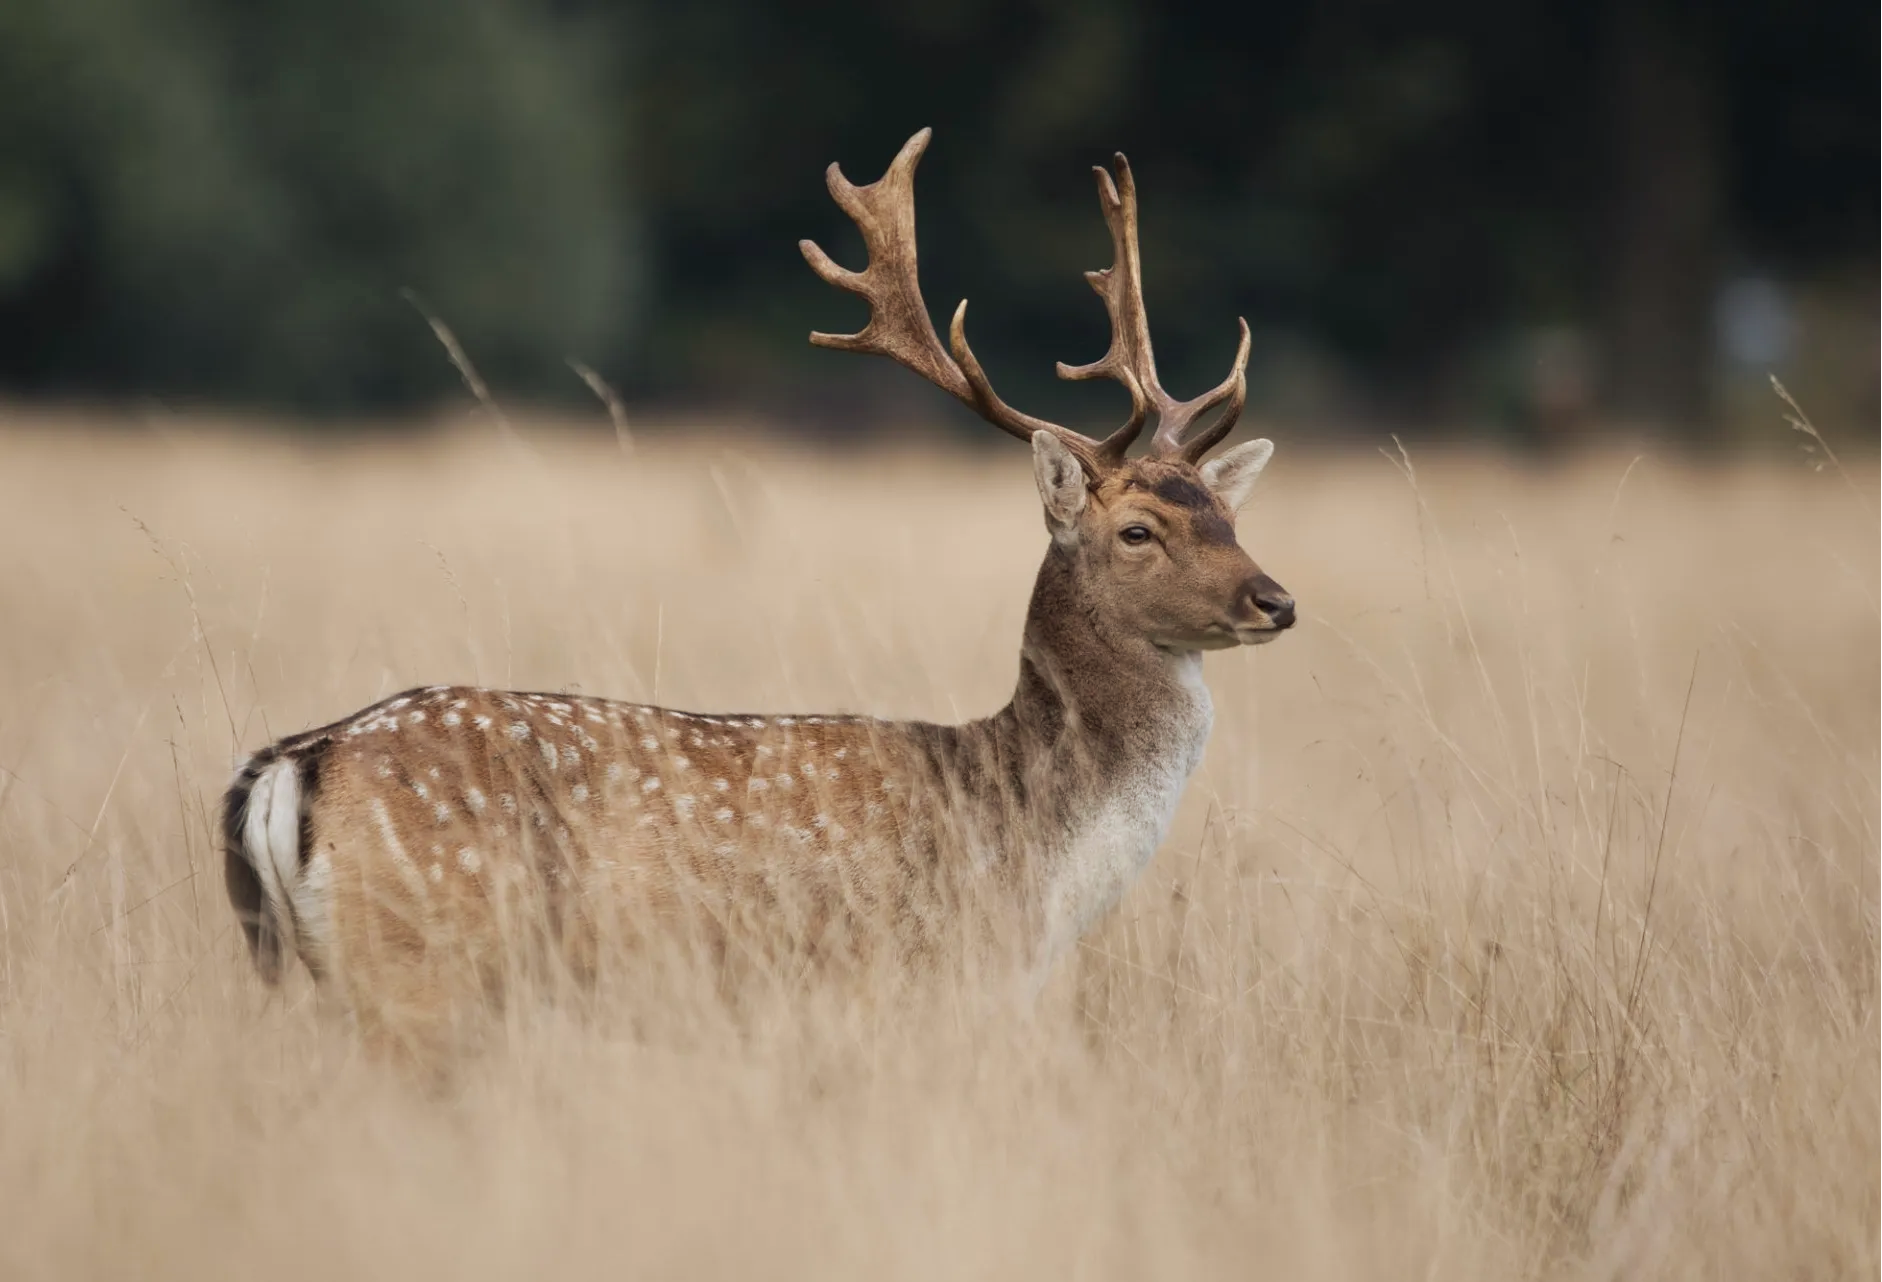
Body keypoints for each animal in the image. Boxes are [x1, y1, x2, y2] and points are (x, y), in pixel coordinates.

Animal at [221, 128, 1295, 1065]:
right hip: (422, 966)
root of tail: (298, 762)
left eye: (1227, 515)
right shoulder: (903, 984)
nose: (1275, 600)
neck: (1024, 845)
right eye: (1137, 531)